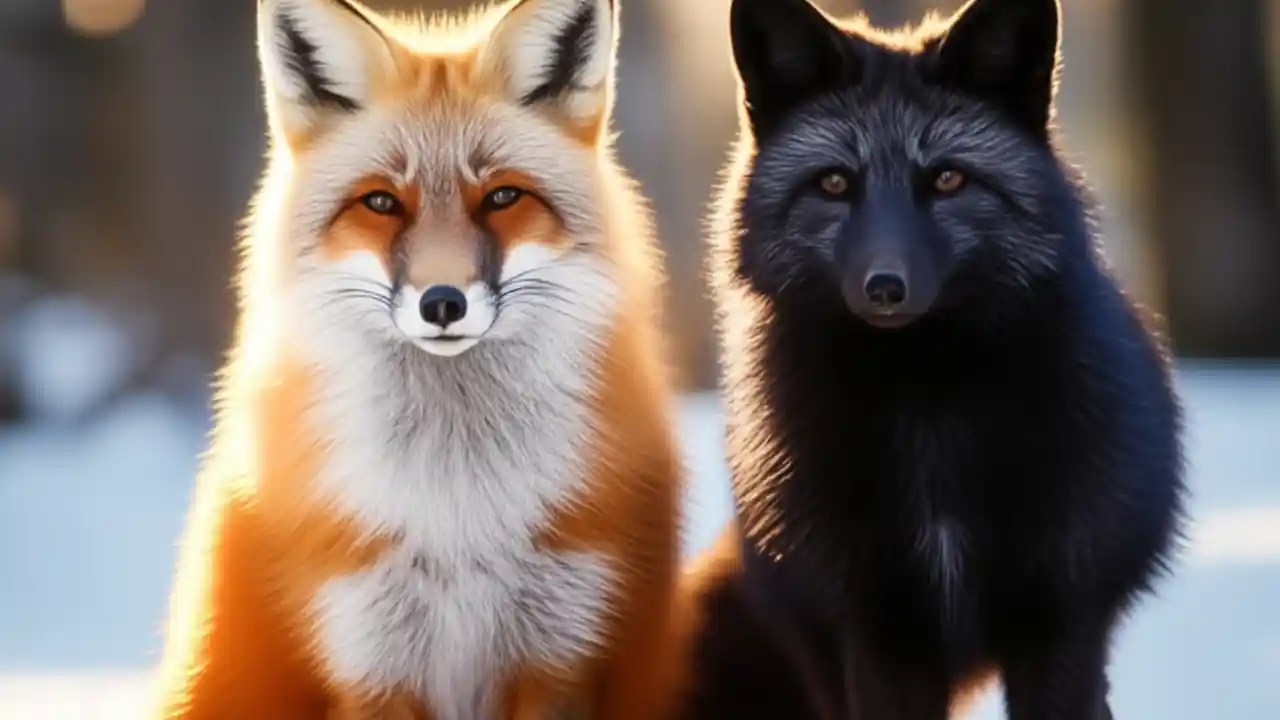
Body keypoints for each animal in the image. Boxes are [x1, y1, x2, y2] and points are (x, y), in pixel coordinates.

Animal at [153, 1, 683, 718]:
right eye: (381, 202)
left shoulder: (561, 653)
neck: (456, 514)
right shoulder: (367, 658)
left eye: (502, 197)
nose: (442, 303)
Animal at [676, 0, 1185, 718]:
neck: (927, 408)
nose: (886, 287)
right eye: (834, 183)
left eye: (947, 179)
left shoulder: (1062, 620)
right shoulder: (878, 628)